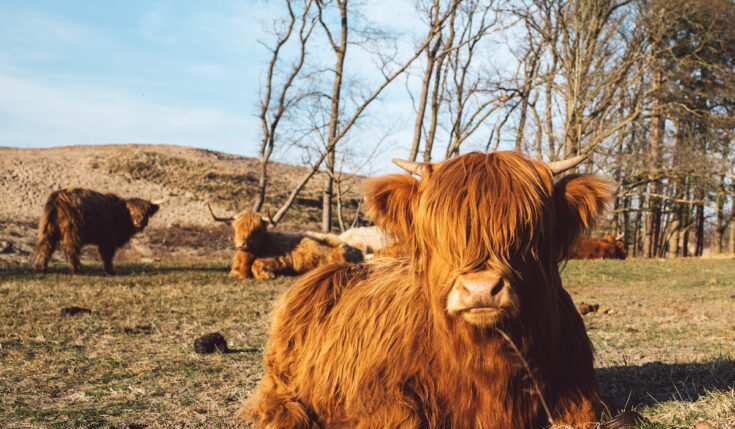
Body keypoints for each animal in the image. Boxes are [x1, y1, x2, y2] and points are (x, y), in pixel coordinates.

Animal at [208, 205, 363, 279]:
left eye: (256, 229)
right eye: (236, 228)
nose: (241, 244)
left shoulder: (280, 261)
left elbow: (256, 265)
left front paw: (268, 275)